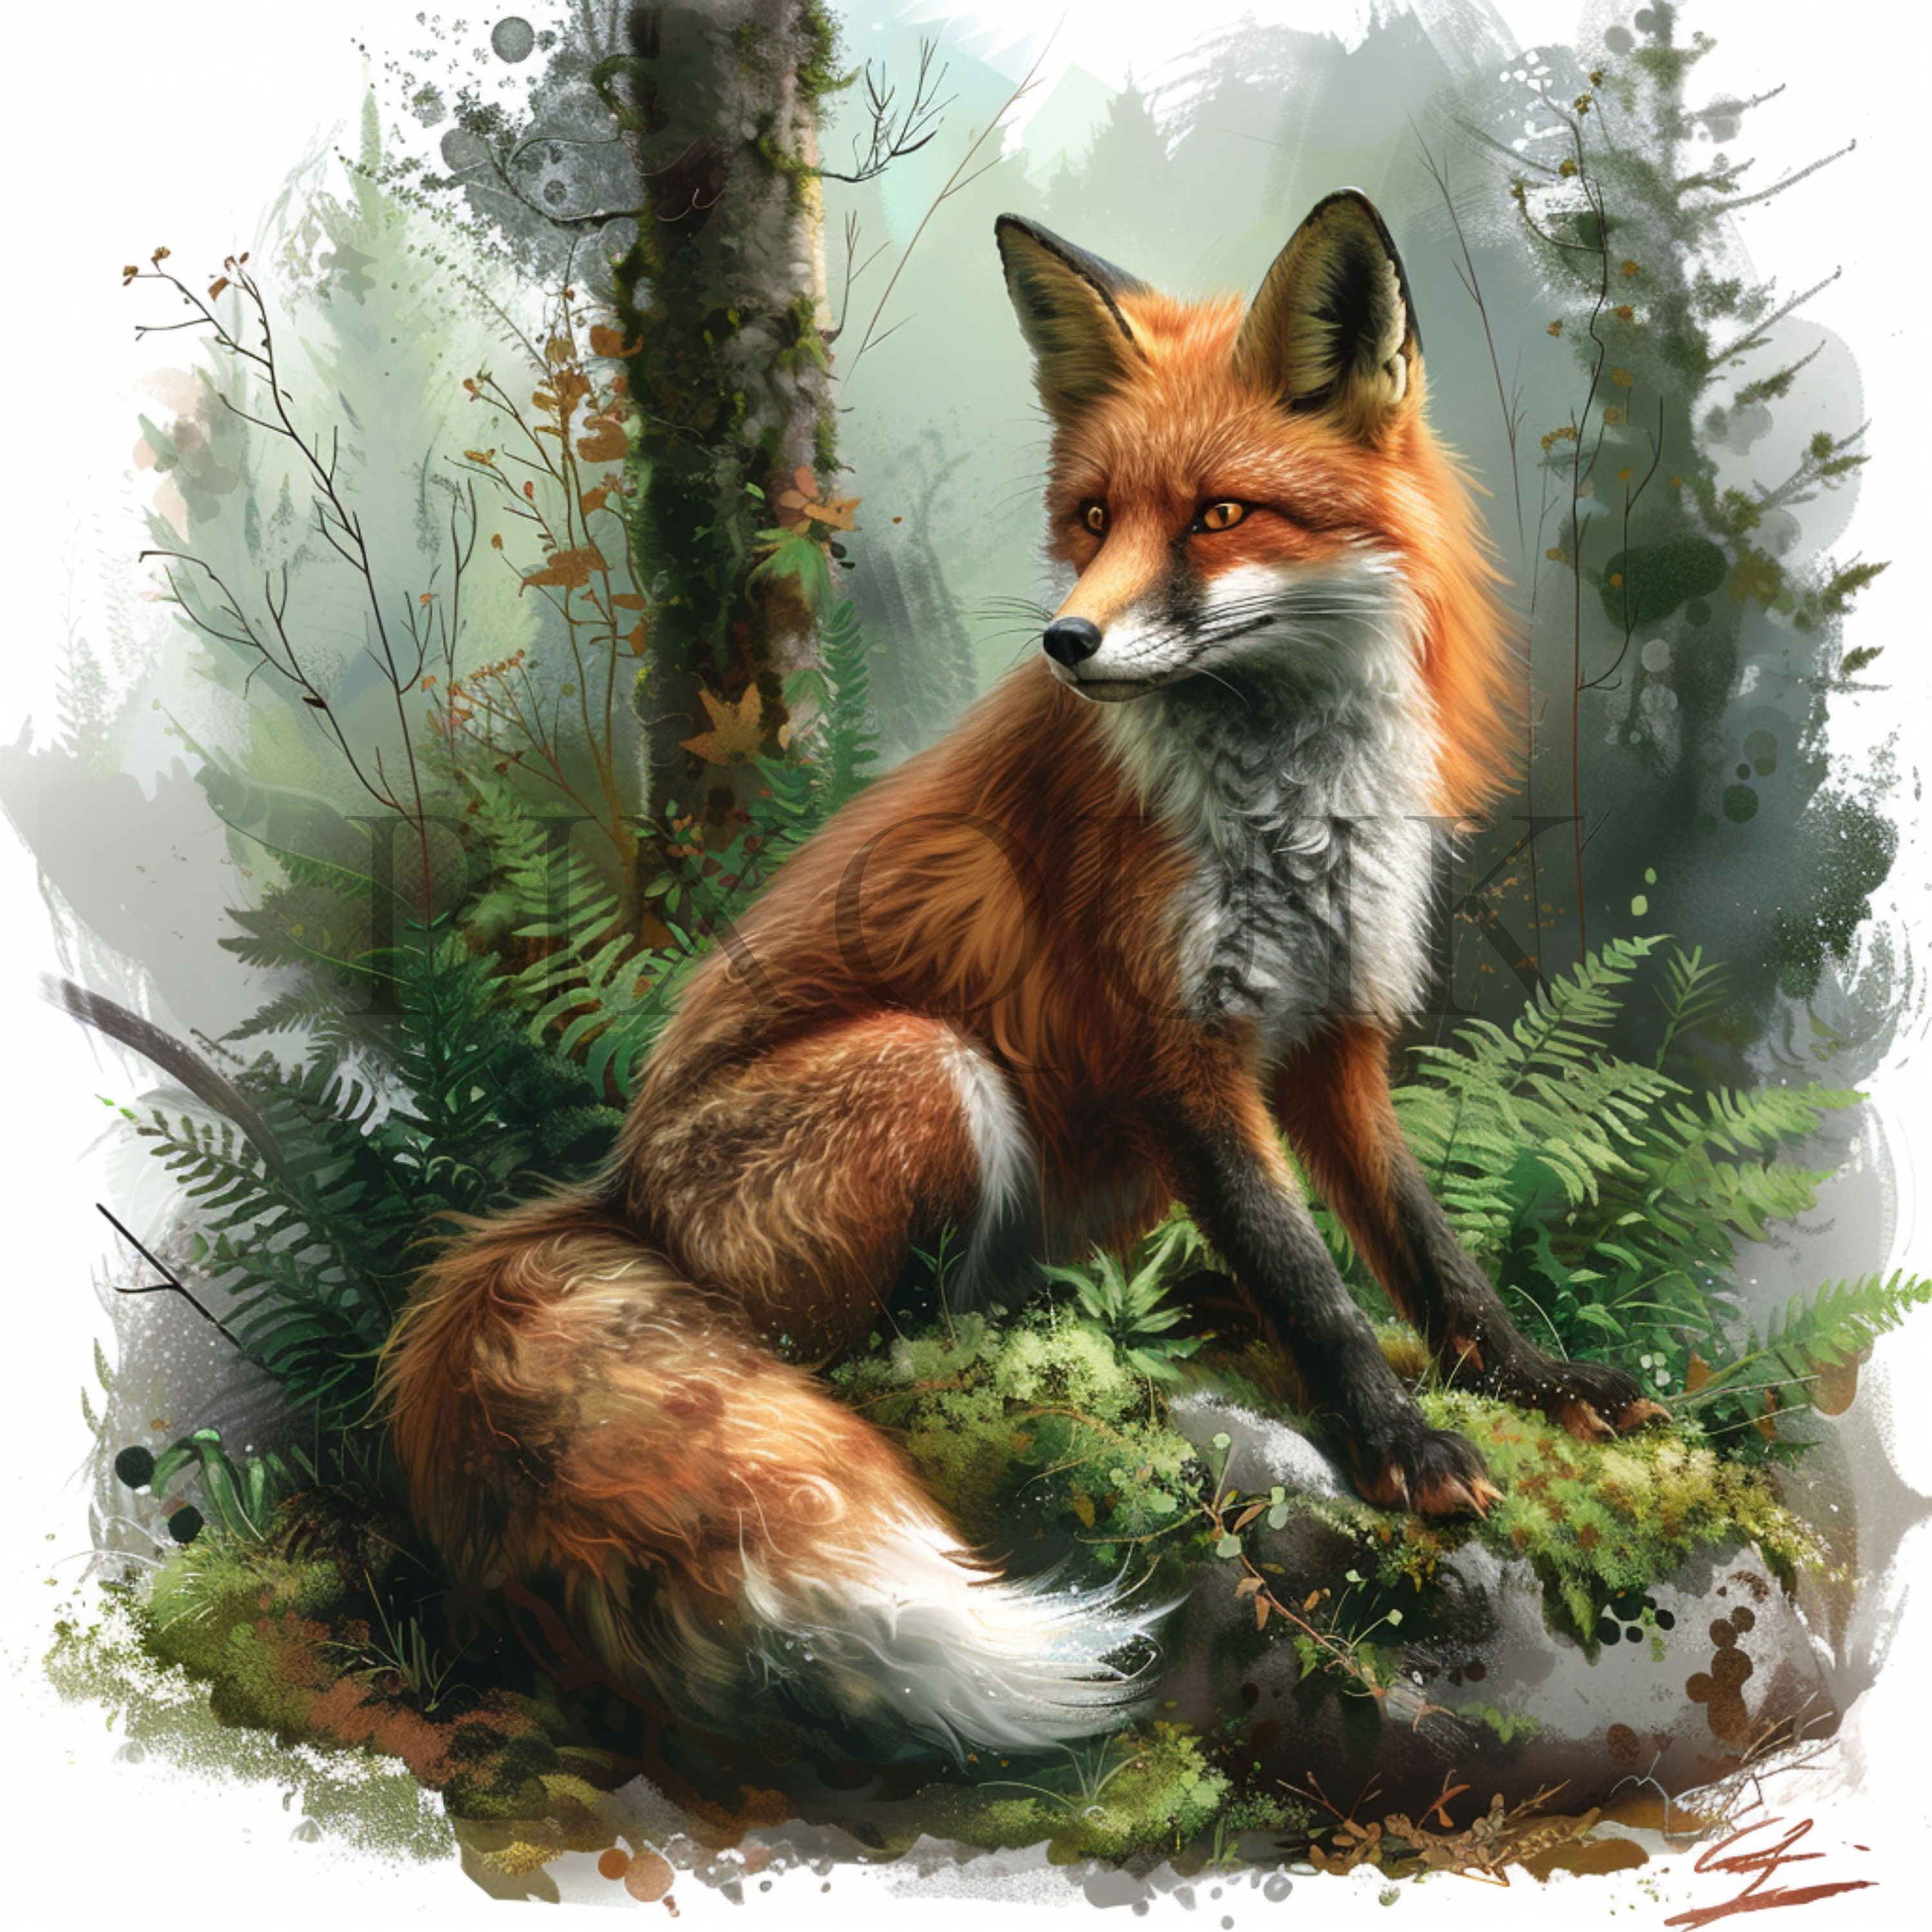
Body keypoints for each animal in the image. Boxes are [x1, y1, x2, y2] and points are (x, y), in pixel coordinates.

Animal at [381, 189, 1666, 1762]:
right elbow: (1309, 1275)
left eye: (1221, 515)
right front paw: (1401, 1446)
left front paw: (1533, 1385)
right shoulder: (1177, 1052)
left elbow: (1428, 1255)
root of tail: (611, 1196)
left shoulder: (1333, 1035)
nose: (1068, 643)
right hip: (924, 1067)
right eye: (1095, 518)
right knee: (846, 1348)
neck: (1289, 815)